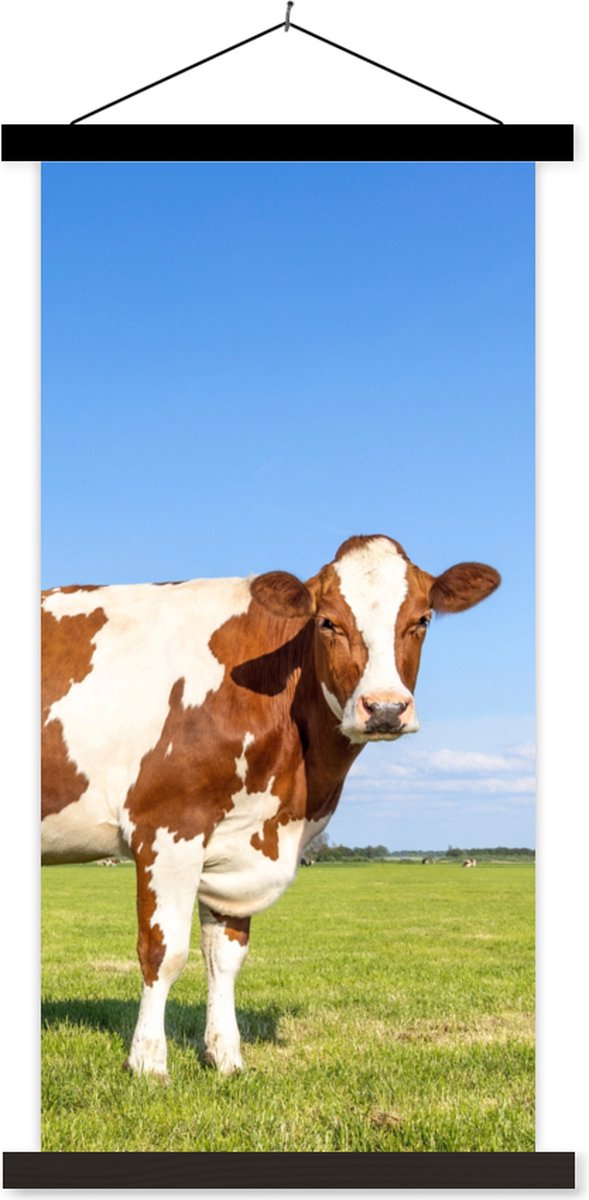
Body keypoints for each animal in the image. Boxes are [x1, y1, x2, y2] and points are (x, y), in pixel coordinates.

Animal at [41, 533, 500, 1080]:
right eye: (328, 622)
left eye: (422, 619)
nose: (386, 708)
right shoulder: (166, 827)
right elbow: (163, 951)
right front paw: (149, 1063)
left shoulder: (235, 843)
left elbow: (224, 956)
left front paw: (225, 1056)